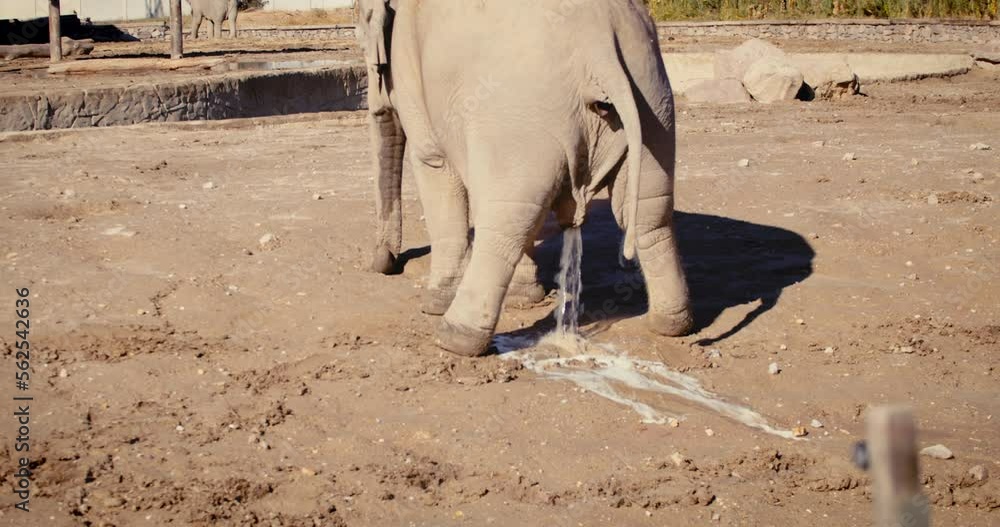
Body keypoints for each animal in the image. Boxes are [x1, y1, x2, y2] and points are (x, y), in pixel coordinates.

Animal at [358, 0, 693, 357]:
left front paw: (433, 305)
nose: (387, 262)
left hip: (520, 116)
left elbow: (432, 162)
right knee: (648, 214)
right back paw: (670, 324)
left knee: (508, 219)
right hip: (653, 98)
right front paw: (525, 298)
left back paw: (453, 337)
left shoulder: (410, 65)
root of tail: (600, 42)